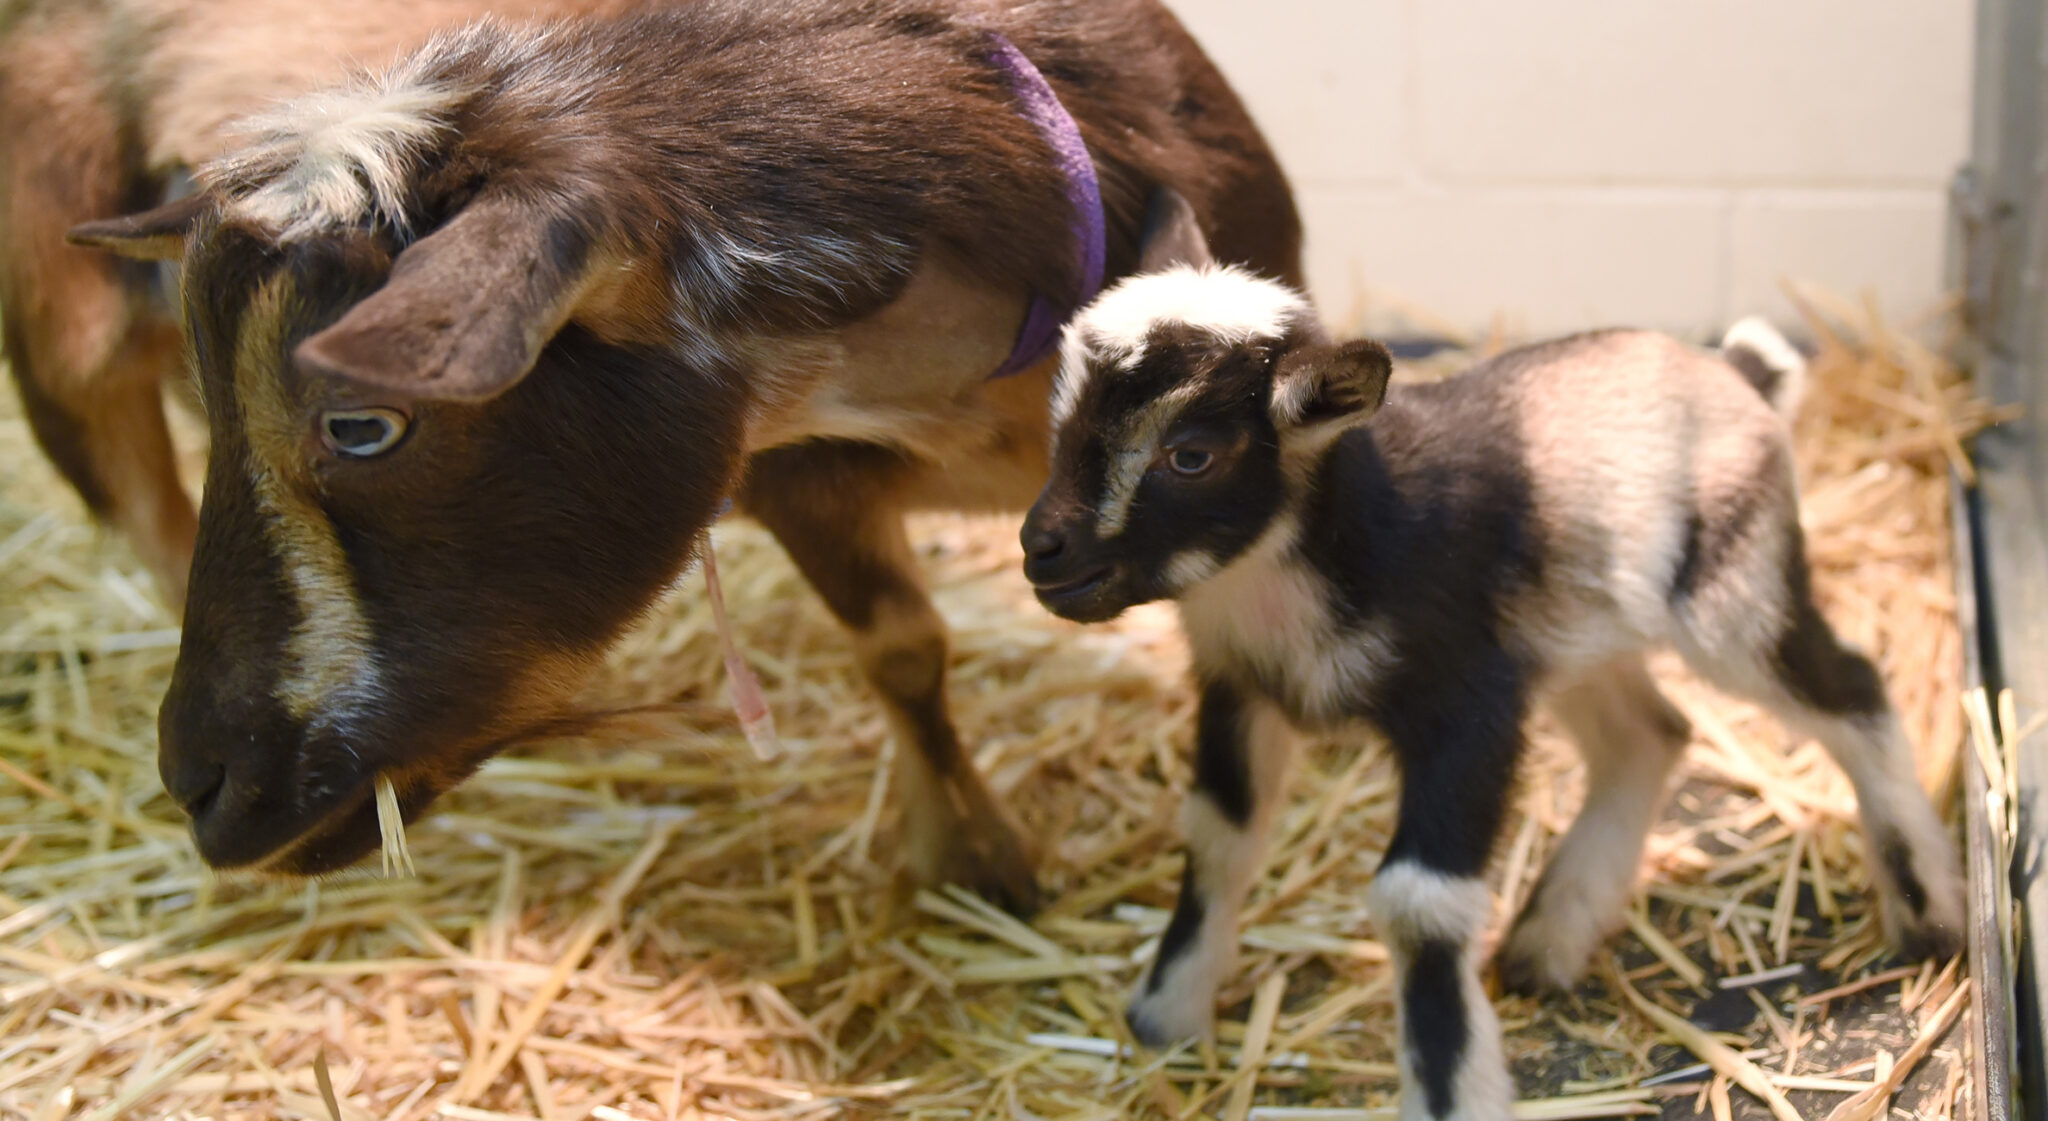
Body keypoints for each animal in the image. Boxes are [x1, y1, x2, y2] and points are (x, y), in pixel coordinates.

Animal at [1021, 202, 1965, 1121]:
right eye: (1059, 409)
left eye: (1191, 454)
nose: (1042, 548)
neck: (1348, 542)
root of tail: (1735, 372)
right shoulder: (1240, 686)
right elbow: (1220, 837)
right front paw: (1165, 1014)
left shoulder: (1467, 699)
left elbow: (1418, 901)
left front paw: (1448, 1091)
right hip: (1577, 636)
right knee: (1648, 734)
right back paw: (1550, 936)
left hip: (1735, 587)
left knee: (1851, 691)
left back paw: (1929, 912)